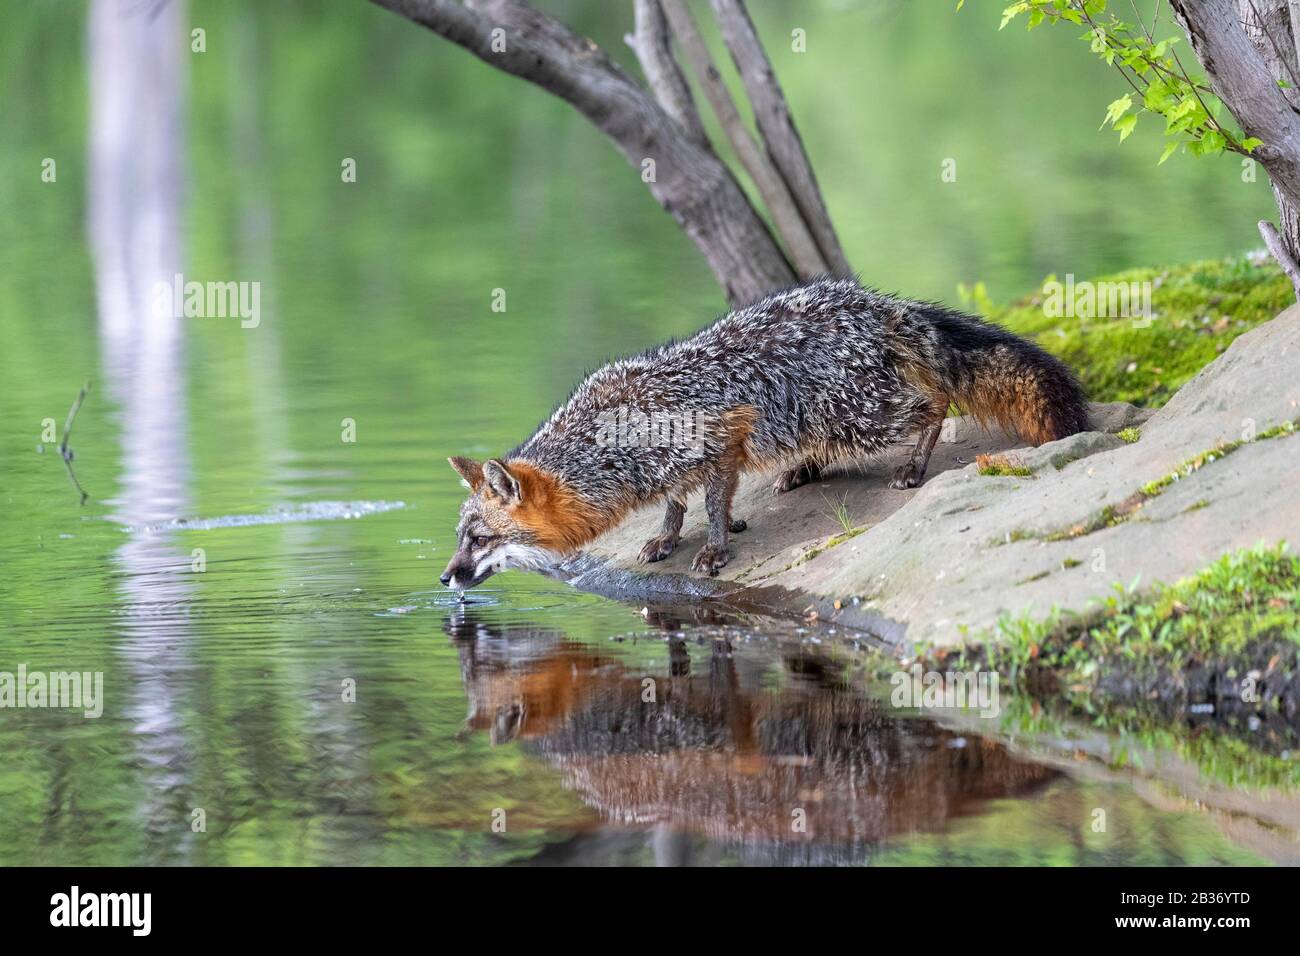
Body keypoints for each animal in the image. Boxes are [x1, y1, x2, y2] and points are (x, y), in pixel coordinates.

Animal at [440, 277, 1088, 590]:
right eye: (461, 538)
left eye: (479, 540)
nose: (445, 576)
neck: (610, 441)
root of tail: (878, 302)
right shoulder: (680, 463)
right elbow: (676, 504)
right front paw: (666, 539)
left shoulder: (721, 442)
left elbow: (711, 505)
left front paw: (714, 547)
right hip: (823, 416)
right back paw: (802, 469)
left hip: (865, 416)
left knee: (936, 401)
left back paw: (913, 466)